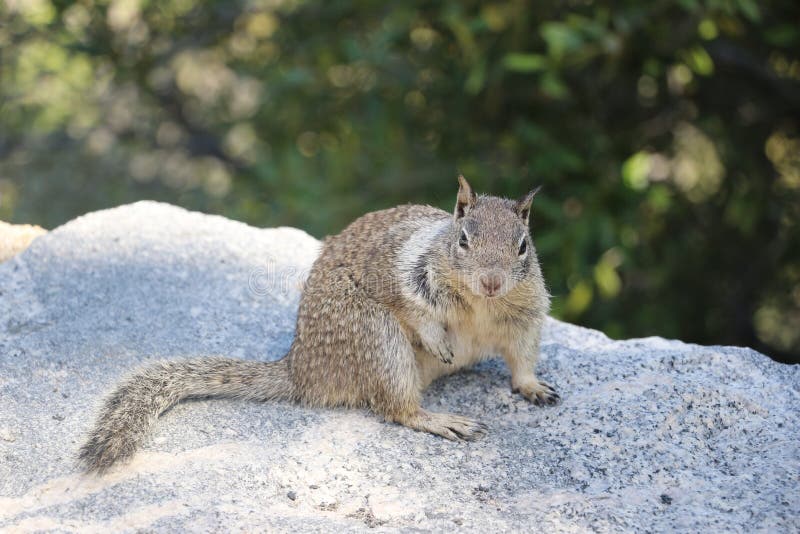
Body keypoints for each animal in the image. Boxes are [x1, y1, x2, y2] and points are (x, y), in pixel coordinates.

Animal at [79, 176, 558, 473]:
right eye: (463, 240)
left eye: (522, 245)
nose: (492, 282)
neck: (478, 305)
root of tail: (301, 370)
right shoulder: (398, 277)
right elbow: (414, 311)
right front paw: (438, 341)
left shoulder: (527, 317)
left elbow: (522, 358)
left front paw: (532, 386)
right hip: (378, 339)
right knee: (397, 408)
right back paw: (440, 419)